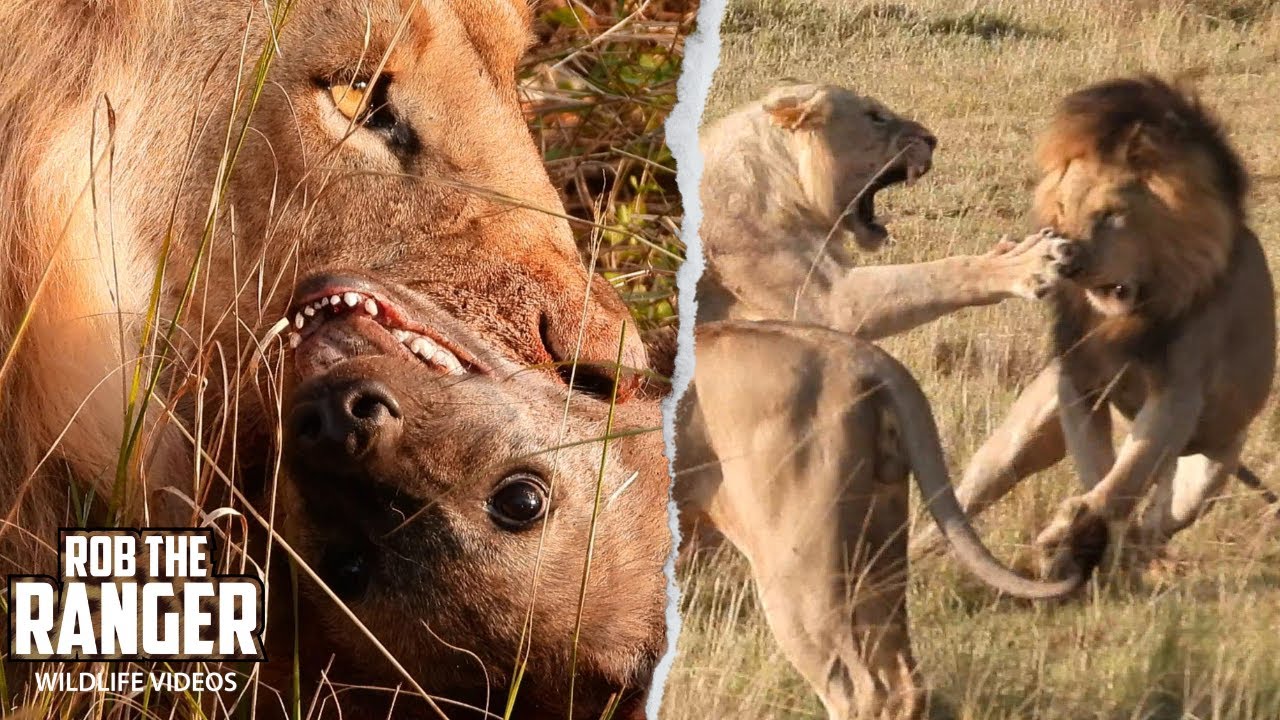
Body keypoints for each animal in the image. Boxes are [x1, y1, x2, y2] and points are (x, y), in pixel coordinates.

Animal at [932, 76, 1276, 578]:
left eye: (1111, 214)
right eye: (1061, 208)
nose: (1069, 260)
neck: (1126, 317)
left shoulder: (1179, 393)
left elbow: (1125, 478)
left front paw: (1074, 533)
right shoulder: (1078, 382)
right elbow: (1098, 468)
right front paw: (1074, 535)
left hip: (1212, 462)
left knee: (1159, 519)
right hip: (1016, 443)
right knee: (966, 496)